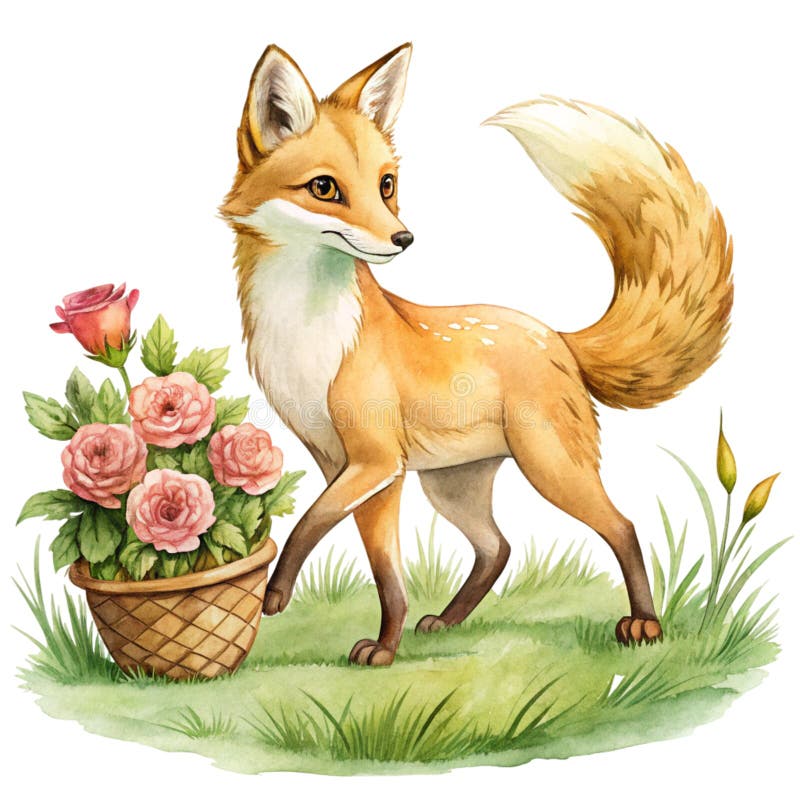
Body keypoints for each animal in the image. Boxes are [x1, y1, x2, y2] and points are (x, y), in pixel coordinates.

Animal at [221, 43, 733, 666]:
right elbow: (383, 569)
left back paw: (645, 624)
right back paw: (448, 620)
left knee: (622, 526)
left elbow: (310, 526)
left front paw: (282, 595)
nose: (403, 239)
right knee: (498, 547)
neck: (308, 335)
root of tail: (557, 336)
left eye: (386, 184)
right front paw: (386, 645)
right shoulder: (351, 467)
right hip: (452, 488)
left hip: (550, 467)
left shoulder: (374, 461)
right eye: (324, 188)